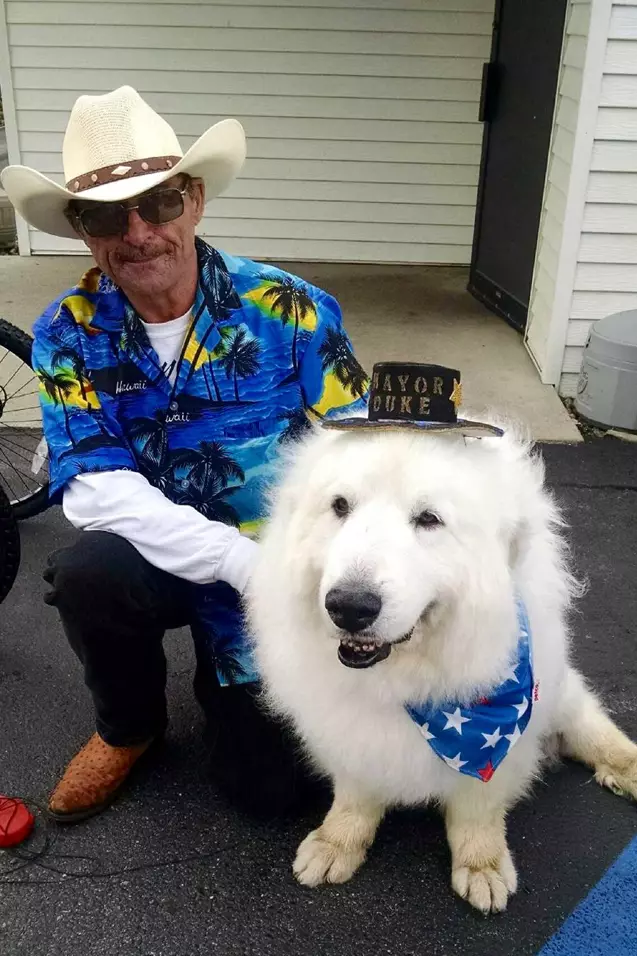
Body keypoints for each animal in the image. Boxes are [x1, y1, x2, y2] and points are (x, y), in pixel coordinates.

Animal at [246, 418, 636, 912]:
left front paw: (482, 865)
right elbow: (354, 798)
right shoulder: (350, 733)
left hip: (560, 697)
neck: (406, 681)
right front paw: (337, 843)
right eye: (340, 507)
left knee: (596, 732)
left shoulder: (497, 753)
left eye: (428, 519)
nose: (349, 606)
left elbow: (477, 814)